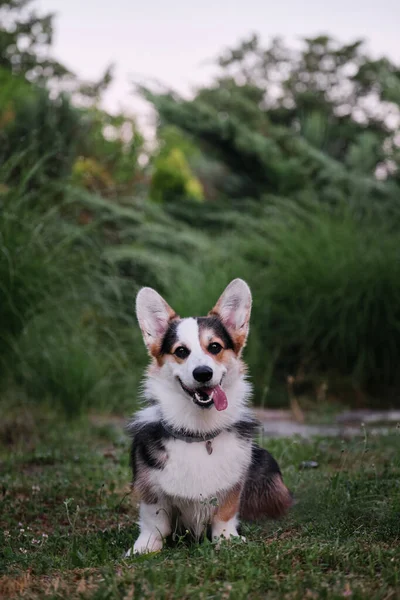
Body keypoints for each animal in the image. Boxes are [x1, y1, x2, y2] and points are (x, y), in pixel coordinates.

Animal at [127, 278, 290, 556]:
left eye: (215, 347)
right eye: (181, 351)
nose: (203, 373)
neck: (199, 432)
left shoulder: (232, 487)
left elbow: (225, 512)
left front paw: (227, 539)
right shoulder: (150, 487)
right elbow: (154, 520)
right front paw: (144, 547)